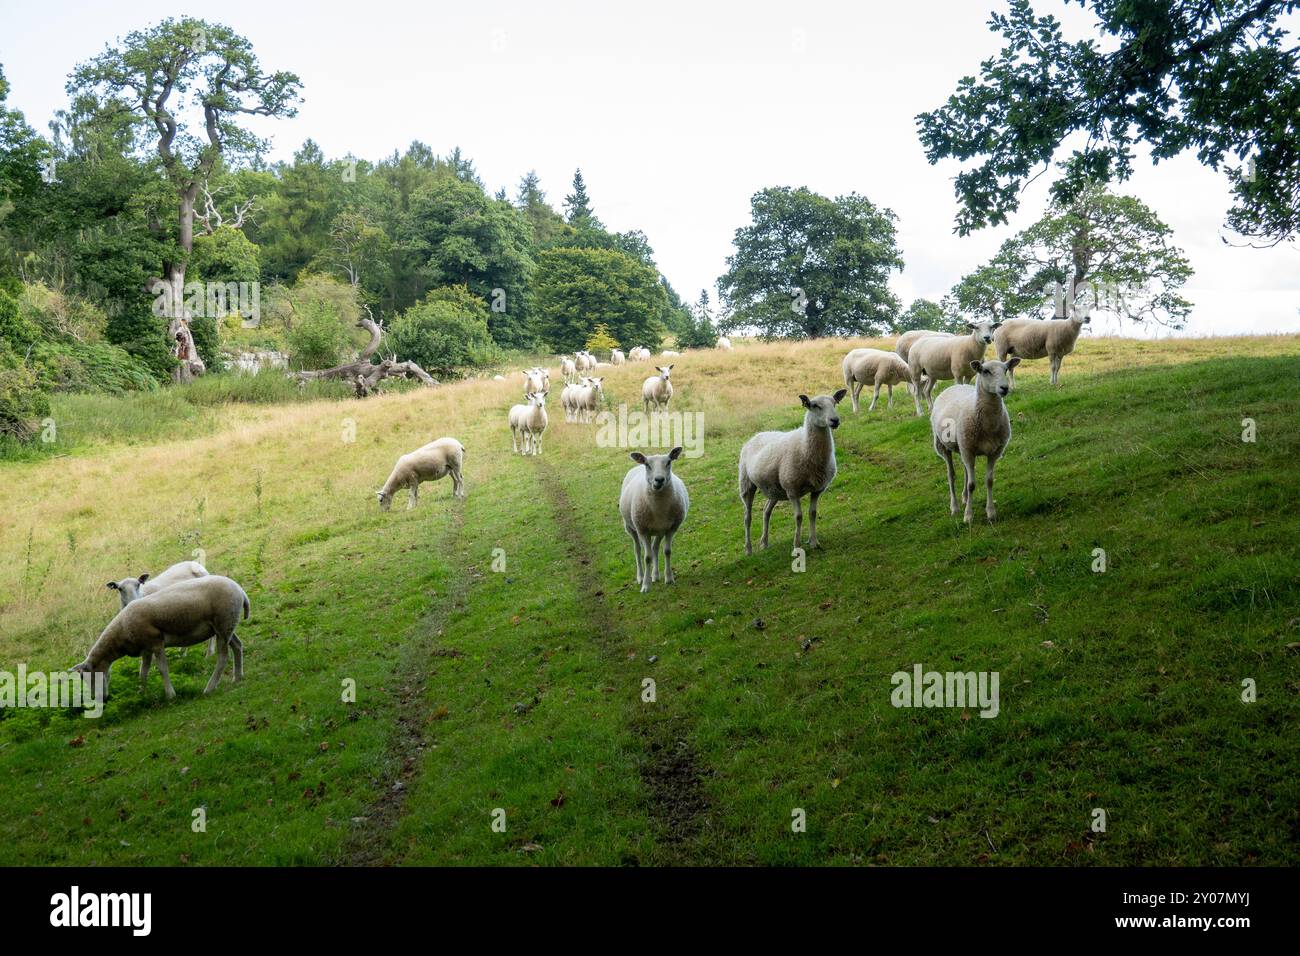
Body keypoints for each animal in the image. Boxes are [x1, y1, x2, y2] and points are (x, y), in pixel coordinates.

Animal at [72, 575, 250, 701]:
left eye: (88, 676)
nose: (99, 699)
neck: (121, 631)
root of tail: (241, 590)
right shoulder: (145, 649)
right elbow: (142, 672)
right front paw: (142, 694)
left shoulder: (156, 642)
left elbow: (162, 668)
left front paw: (170, 695)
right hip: (225, 627)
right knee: (238, 646)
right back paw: (237, 677)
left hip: (223, 623)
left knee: (223, 658)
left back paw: (209, 688)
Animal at [619, 446, 690, 593]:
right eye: (647, 464)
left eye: (668, 462)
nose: (659, 479)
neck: (659, 507)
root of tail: (636, 466)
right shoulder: (643, 530)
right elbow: (647, 557)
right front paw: (646, 586)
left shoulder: (671, 528)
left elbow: (667, 551)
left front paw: (669, 578)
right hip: (631, 528)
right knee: (638, 550)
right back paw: (640, 577)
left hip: (659, 530)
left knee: (654, 547)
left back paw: (655, 575)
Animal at [738, 389, 847, 554]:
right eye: (814, 405)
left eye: (835, 403)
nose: (835, 420)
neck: (805, 446)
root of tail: (756, 435)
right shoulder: (792, 490)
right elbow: (799, 517)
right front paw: (797, 546)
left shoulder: (817, 489)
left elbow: (812, 514)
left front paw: (814, 542)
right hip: (746, 483)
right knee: (747, 517)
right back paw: (748, 550)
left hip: (774, 489)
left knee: (766, 511)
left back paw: (764, 543)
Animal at [930, 358, 1020, 524]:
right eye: (986, 371)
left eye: (1005, 369)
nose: (1004, 388)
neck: (988, 425)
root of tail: (957, 385)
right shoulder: (969, 450)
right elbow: (972, 484)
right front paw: (968, 516)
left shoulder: (994, 452)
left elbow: (989, 480)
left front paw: (991, 513)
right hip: (944, 446)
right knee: (951, 475)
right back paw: (955, 507)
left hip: (963, 447)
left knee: (966, 471)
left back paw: (965, 498)